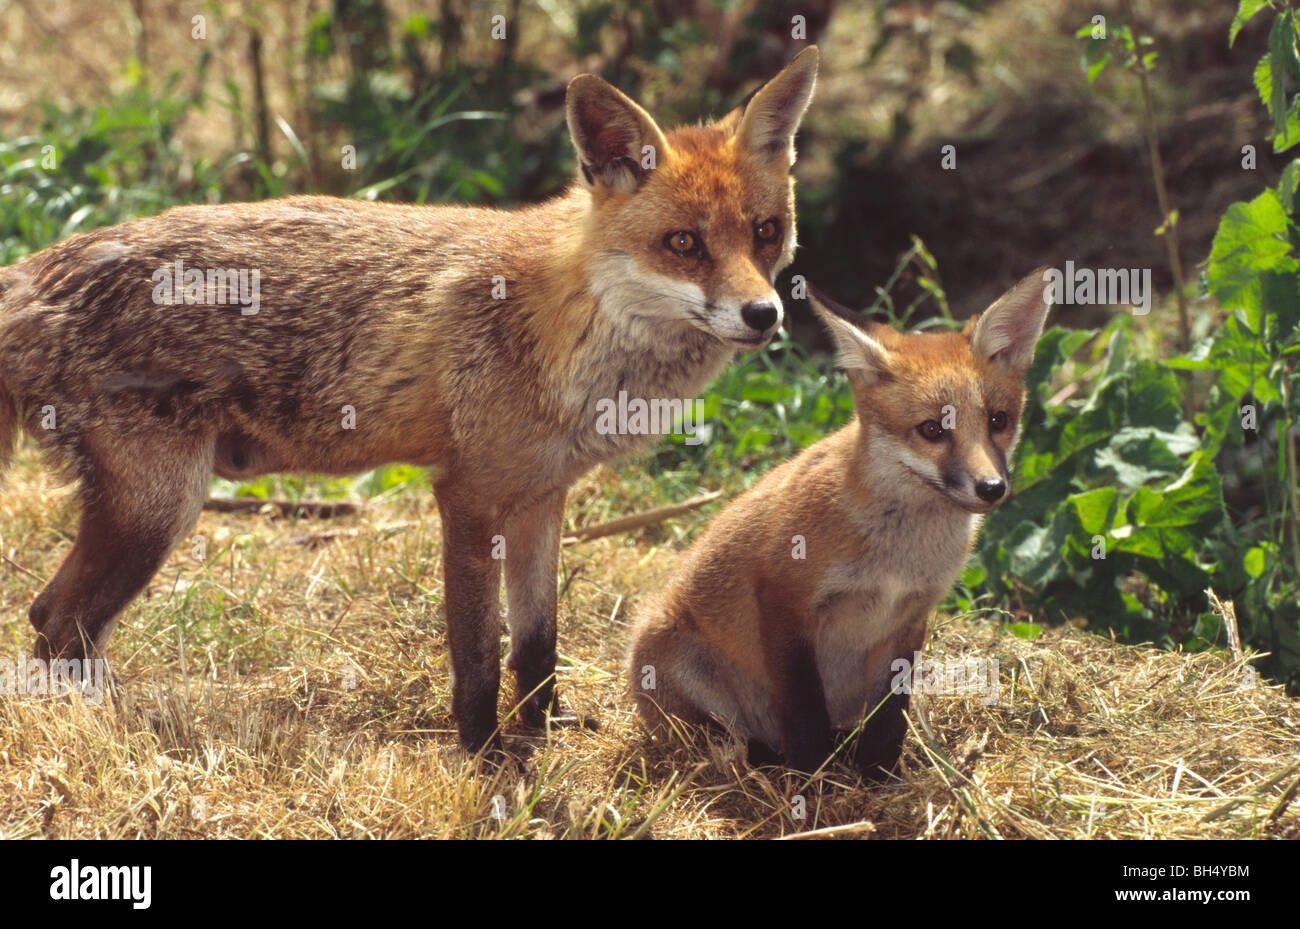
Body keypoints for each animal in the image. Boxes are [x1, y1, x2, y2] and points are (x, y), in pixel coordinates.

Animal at [0, 47, 819, 754]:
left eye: (765, 232)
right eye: (684, 244)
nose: (764, 315)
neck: (559, 329)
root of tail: (43, 266)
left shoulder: (540, 498)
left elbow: (537, 644)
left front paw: (543, 730)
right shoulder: (467, 496)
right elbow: (478, 654)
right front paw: (486, 754)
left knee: (49, 619)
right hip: (158, 510)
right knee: (60, 622)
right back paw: (105, 732)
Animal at [626, 270, 1050, 776]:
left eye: (998, 421)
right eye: (931, 429)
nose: (991, 488)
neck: (897, 556)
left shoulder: (910, 618)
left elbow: (890, 714)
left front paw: (878, 775)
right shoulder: (785, 601)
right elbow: (803, 708)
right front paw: (811, 777)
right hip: (672, 659)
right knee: (726, 740)